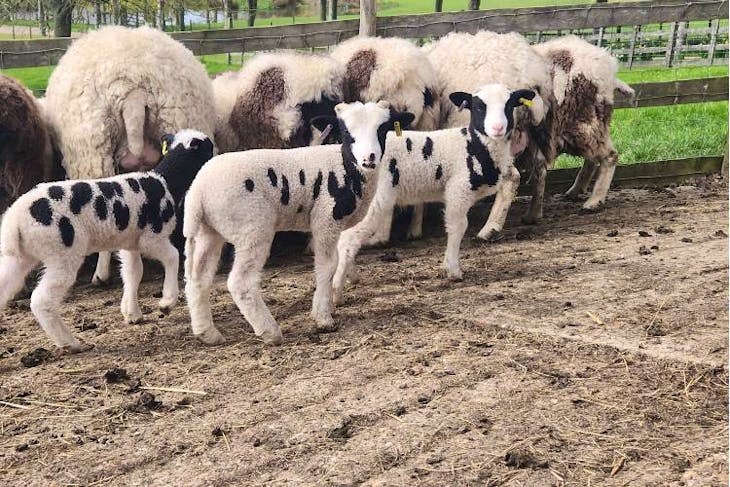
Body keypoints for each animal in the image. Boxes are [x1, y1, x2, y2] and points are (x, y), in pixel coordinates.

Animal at [0, 130, 214, 353]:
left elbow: (133, 272)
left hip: (20, 257)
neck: (166, 181)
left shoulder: (130, 242)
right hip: (62, 255)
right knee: (42, 301)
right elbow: (173, 257)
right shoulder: (152, 237)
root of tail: (14, 221)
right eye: (209, 146)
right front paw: (167, 303)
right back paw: (70, 343)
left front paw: (132, 313)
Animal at [183, 101, 414, 346]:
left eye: (383, 129)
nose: (369, 158)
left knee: (198, 279)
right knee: (240, 282)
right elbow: (327, 265)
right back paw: (270, 332)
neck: (345, 167)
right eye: (345, 132)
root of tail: (198, 192)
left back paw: (207, 333)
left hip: (208, 231)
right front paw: (323, 318)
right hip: (252, 228)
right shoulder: (326, 219)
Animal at [332, 85, 540, 305]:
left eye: (510, 105)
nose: (498, 128)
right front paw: (453, 270)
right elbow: (458, 227)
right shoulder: (458, 189)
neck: (473, 146)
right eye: (479, 107)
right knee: (348, 240)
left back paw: (350, 277)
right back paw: (336, 293)